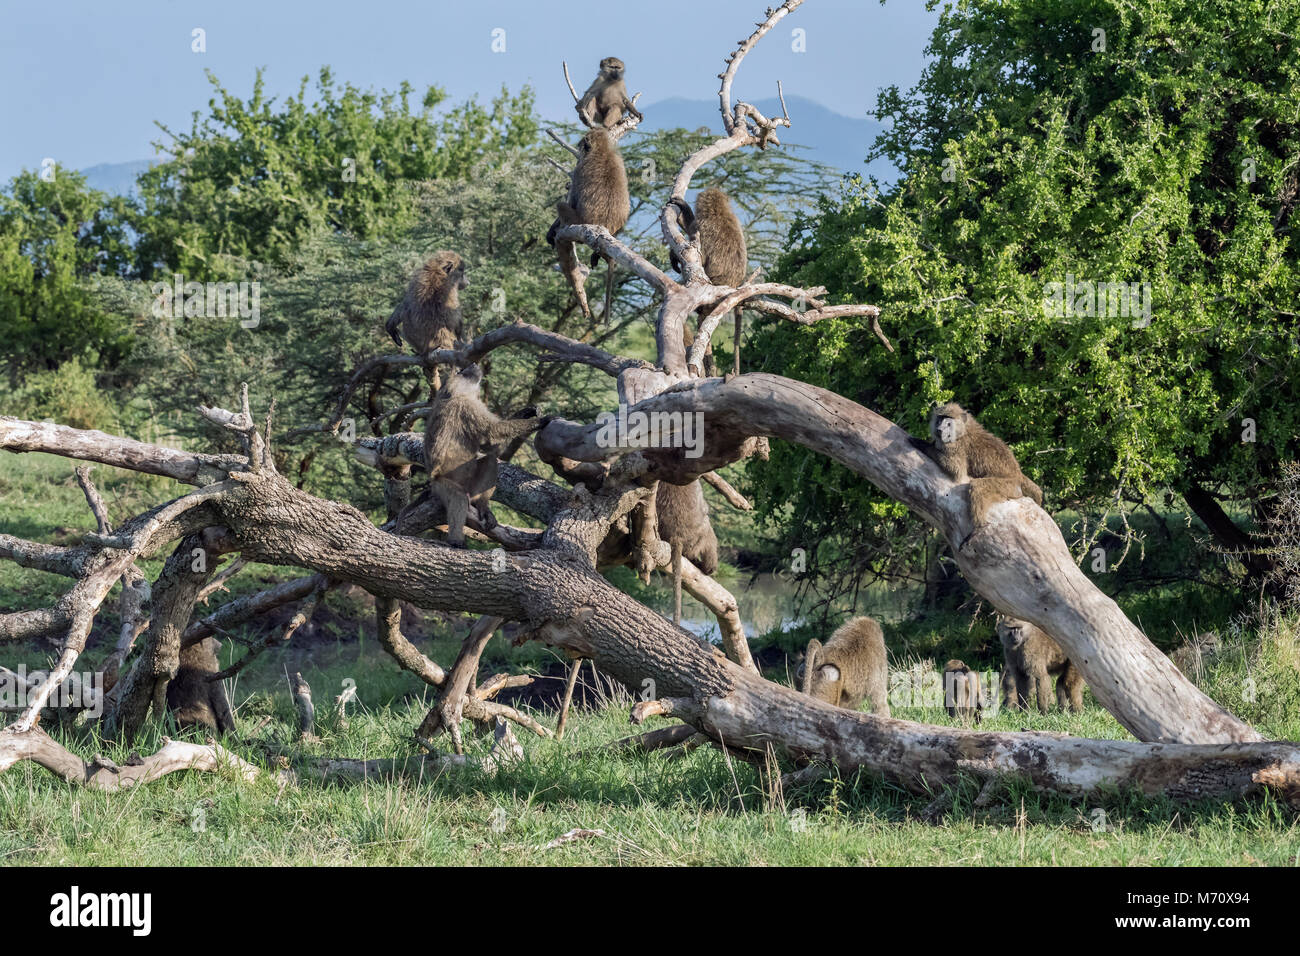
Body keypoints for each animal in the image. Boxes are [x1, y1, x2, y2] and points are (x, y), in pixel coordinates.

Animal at [423, 363, 548, 547]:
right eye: (461, 371)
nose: (473, 365)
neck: (455, 394)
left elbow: (491, 447)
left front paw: (527, 412)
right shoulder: (468, 408)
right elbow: (494, 431)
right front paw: (539, 421)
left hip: (472, 488)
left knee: (490, 461)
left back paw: (482, 505)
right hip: (441, 485)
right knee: (459, 498)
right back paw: (456, 541)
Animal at [547, 128, 630, 323]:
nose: (579, 146)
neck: (603, 150)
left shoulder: (579, 171)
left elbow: (571, 201)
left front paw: (551, 231)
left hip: (575, 220)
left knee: (561, 205)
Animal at [918, 402, 1043, 540]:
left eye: (948, 422)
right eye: (940, 419)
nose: (940, 429)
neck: (964, 430)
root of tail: (1018, 475)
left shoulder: (955, 446)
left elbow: (955, 469)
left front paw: (920, 443)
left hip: (1009, 486)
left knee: (978, 487)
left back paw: (979, 527)